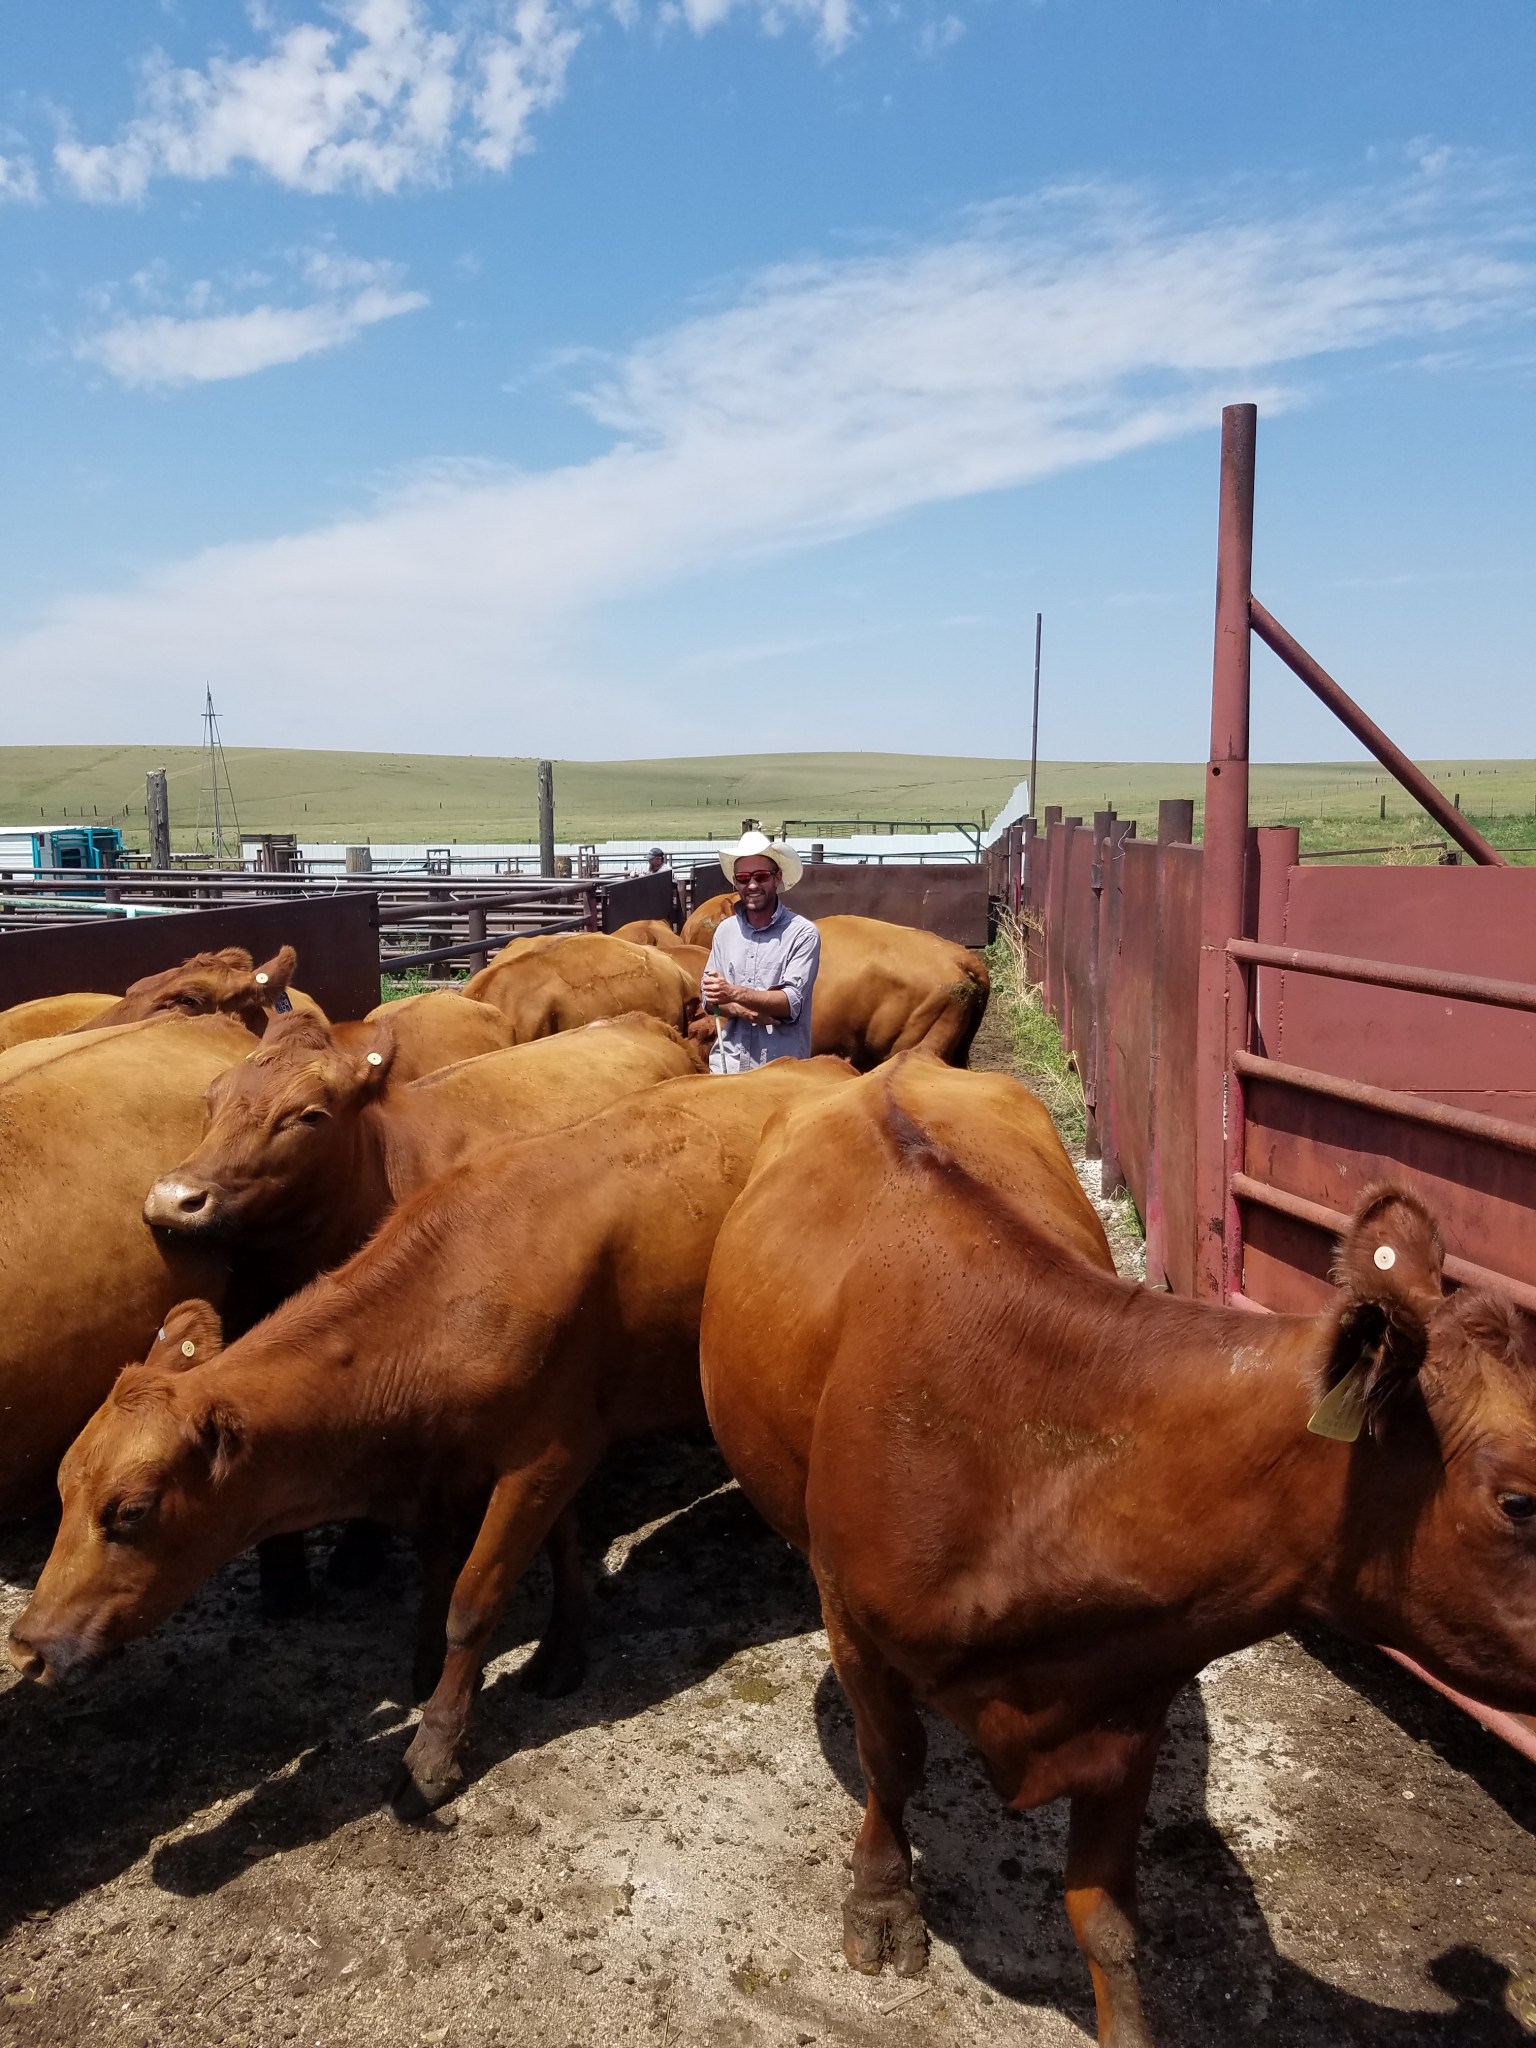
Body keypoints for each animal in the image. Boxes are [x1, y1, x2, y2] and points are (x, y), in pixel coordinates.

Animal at [9, 1057, 858, 1821]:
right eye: (61, 1490)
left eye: (130, 1511)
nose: (26, 1646)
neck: (451, 1292)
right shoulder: (523, 1451)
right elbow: (503, 1557)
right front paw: (545, 1653)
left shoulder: (542, 1456)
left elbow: (473, 1600)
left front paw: (434, 1750)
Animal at [697, 1052, 1536, 2047]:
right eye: (1521, 1500)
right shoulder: (854, 1620)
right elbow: (891, 1761)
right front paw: (882, 1904)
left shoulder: (1131, 1698)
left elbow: (1107, 1918)